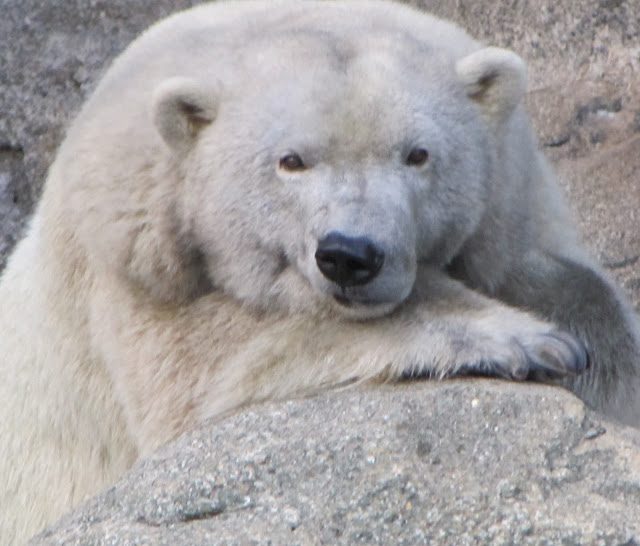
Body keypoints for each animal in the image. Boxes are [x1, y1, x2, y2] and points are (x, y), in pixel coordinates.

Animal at [1, 0, 639, 543]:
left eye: (417, 154)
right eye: (291, 161)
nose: (349, 255)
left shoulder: (514, 207)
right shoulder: (132, 259)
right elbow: (203, 368)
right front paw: (525, 341)